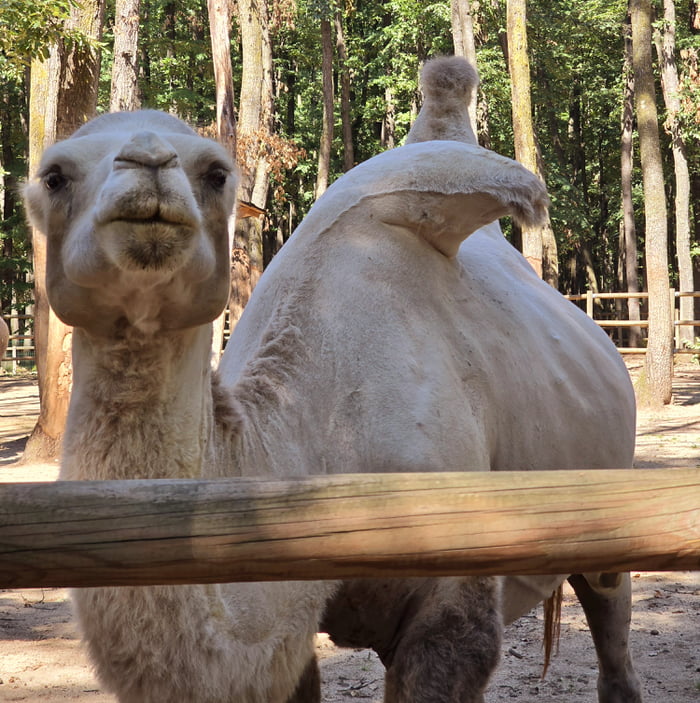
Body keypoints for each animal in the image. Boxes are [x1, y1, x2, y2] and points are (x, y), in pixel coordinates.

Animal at [22, 56, 642, 703]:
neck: (319, 436)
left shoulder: (453, 595)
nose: (148, 165)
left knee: (611, 623)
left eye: (217, 173)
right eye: (54, 176)